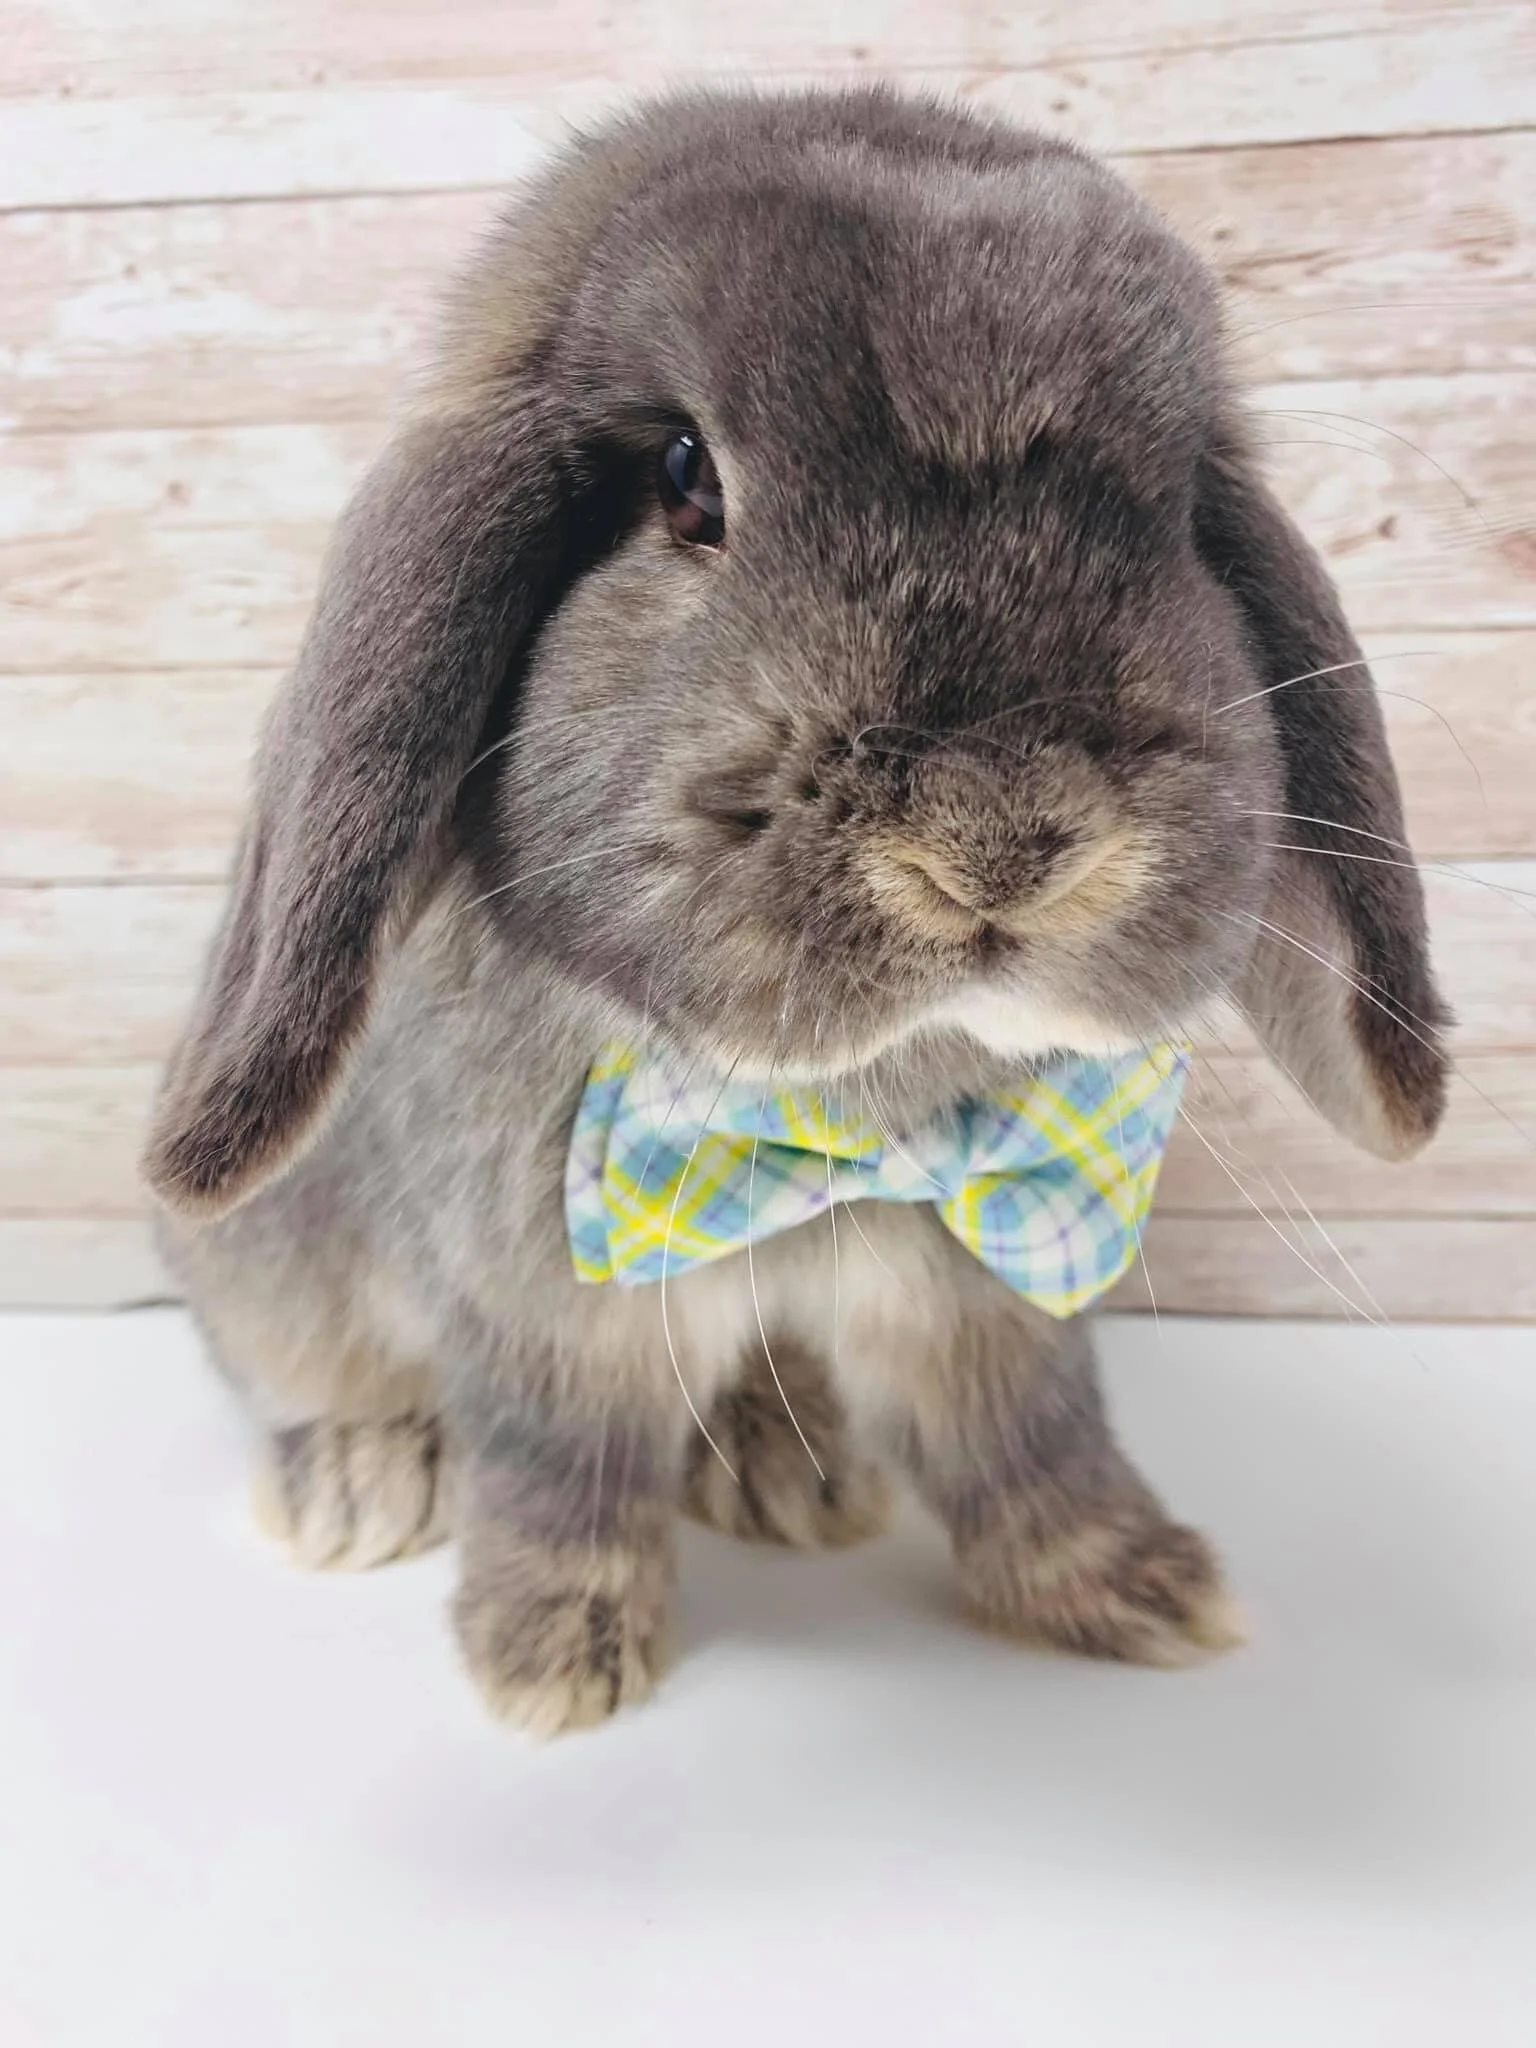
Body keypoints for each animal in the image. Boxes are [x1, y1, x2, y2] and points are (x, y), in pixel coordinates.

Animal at [142, 86, 1448, 1736]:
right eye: (686, 477)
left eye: (1170, 510)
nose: (1002, 840)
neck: (823, 1127)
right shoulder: (535, 1313)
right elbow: (558, 1470)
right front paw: (552, 1659)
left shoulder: (985, 1300)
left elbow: (1034, 1435)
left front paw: (1141, 1588)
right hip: (269, 1263)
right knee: (310, 1374)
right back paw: (361, 1484)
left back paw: (793, 1463)